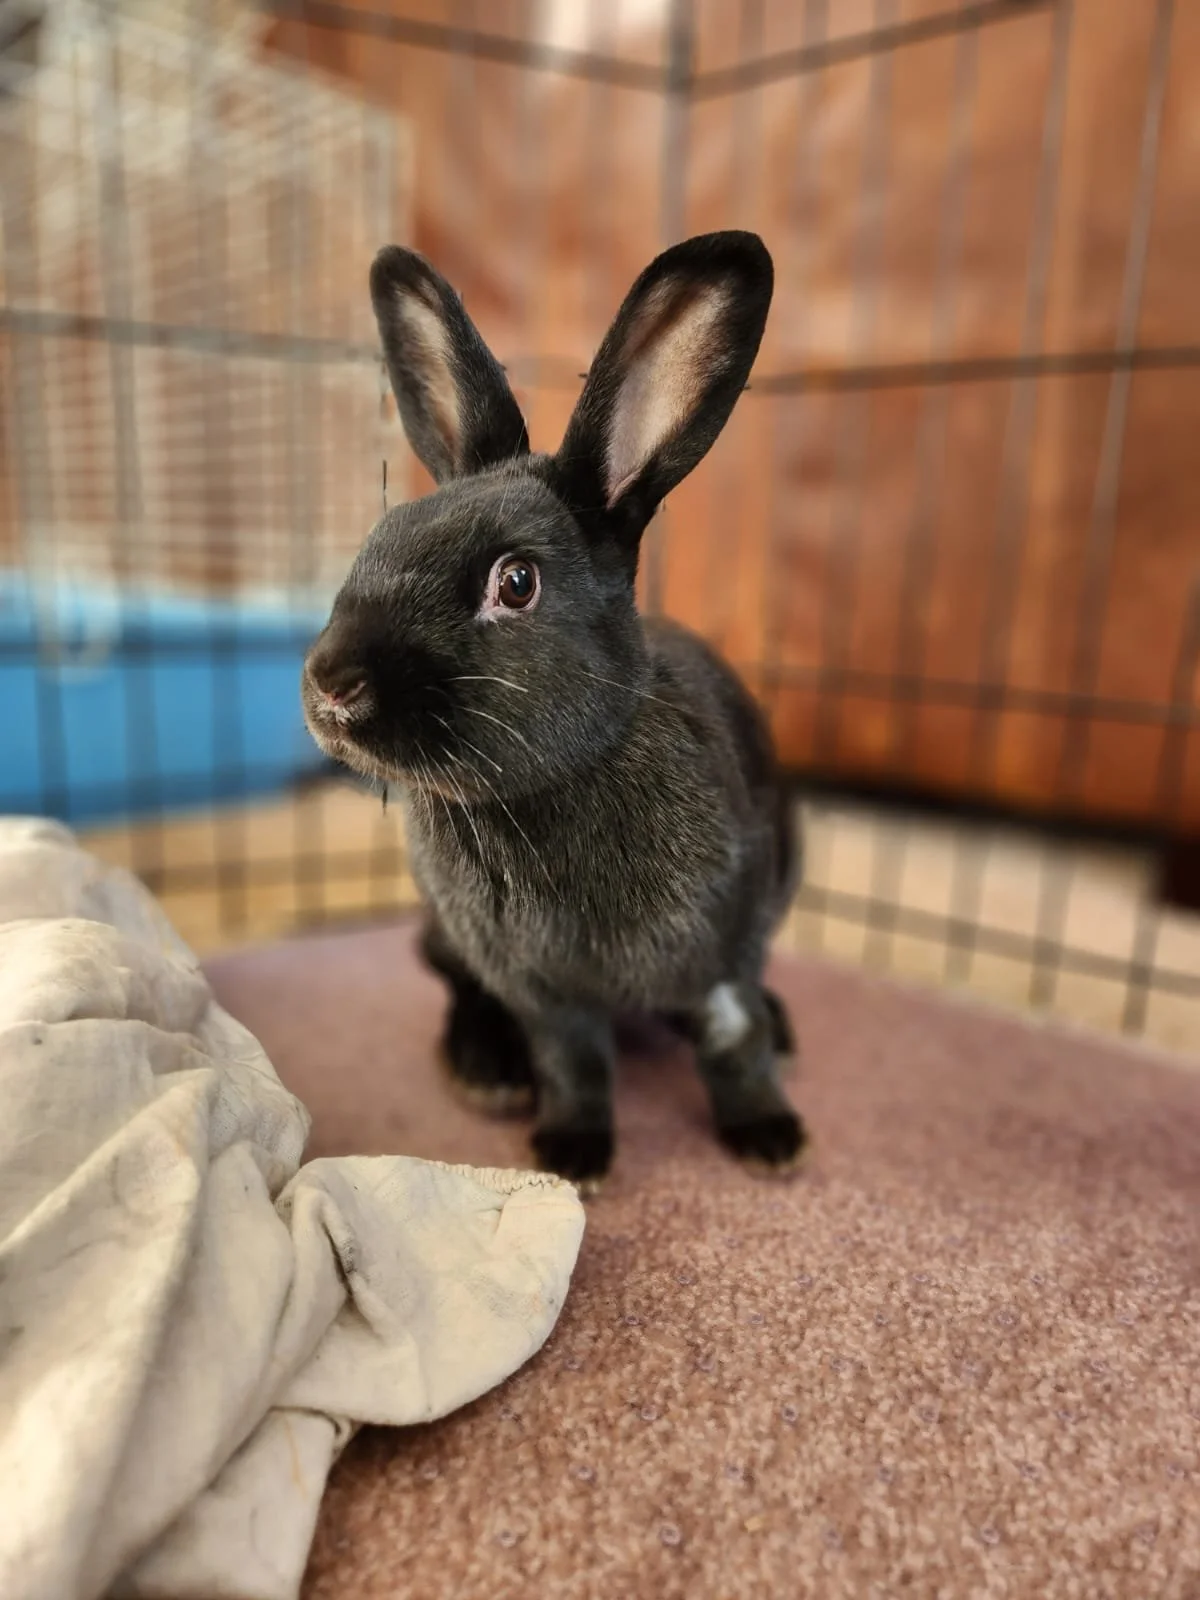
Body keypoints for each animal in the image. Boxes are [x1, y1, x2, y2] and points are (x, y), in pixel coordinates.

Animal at [302, 229, 807, 1190]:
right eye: (377, 542)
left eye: (517, 582)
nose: (331, 685)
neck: (553, 788)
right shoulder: (543, 993)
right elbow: (574, 1063)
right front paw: (572, 1156)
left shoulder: (725, 948)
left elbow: (736, 1043)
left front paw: (772, 1139)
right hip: (452, 941)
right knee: (454, 983)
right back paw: (485, 1070)